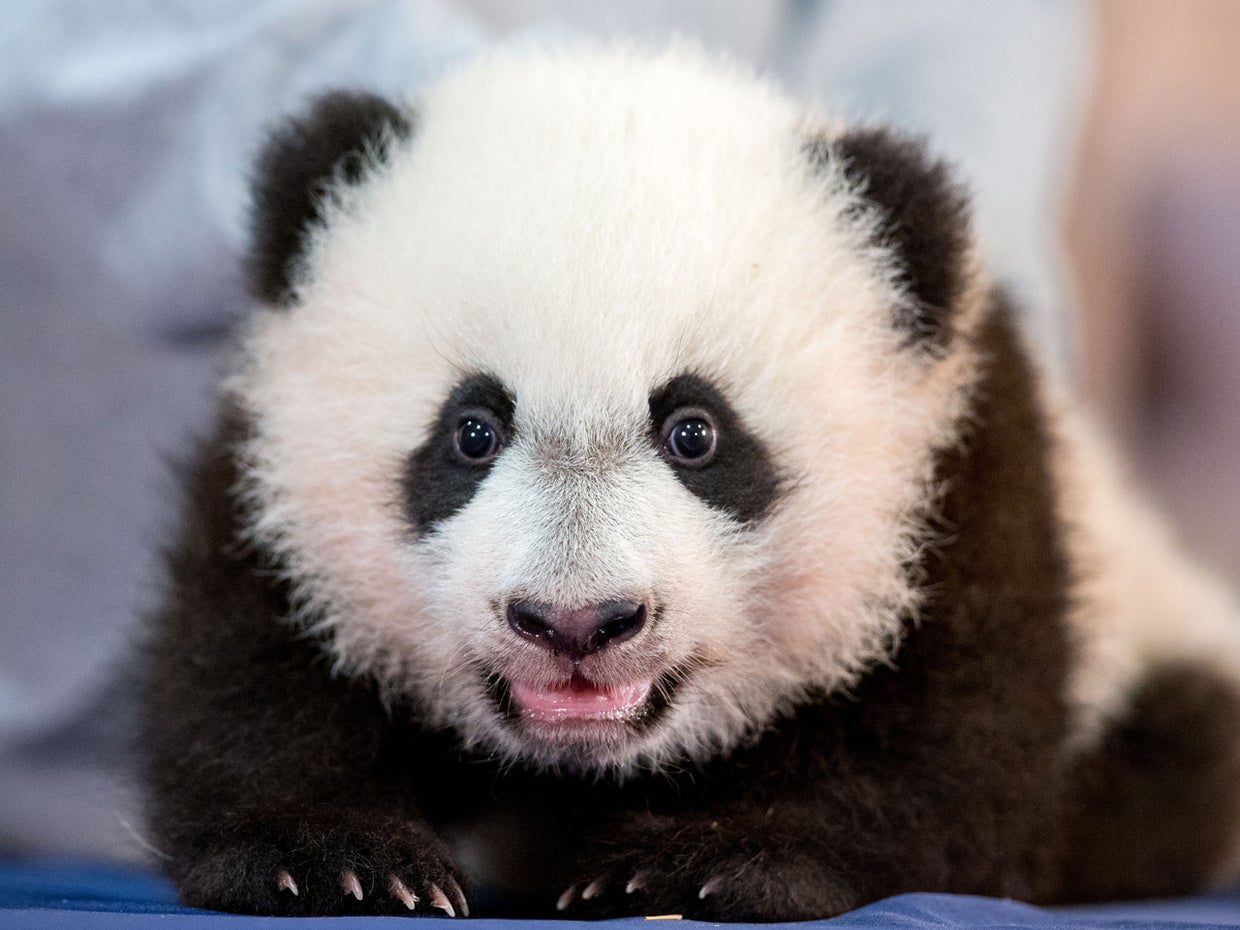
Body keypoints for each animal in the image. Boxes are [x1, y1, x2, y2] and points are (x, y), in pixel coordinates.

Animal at [141, 45, 1240, 920]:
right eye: (471, 432)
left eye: (695, 434)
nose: (577, 623)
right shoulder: (270, 479)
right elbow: (247, 666)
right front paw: (336, 859)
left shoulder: (965, 472)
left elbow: (949, 746)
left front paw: (698, 864)